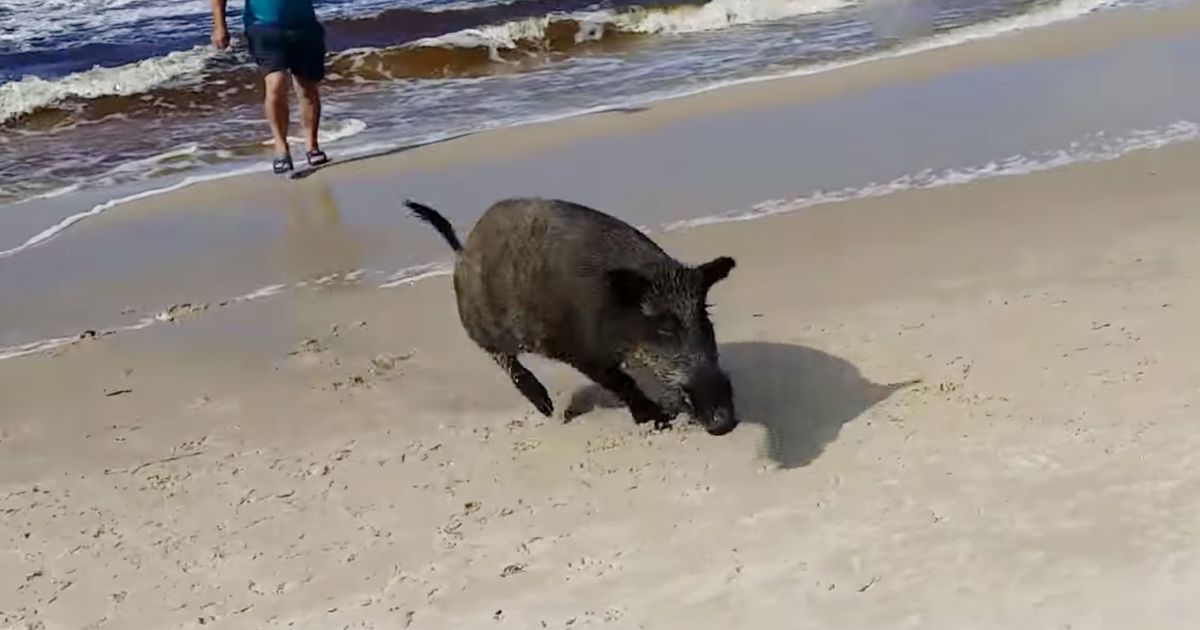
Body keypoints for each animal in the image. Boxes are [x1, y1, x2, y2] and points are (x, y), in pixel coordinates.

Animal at [404, 197, 738, 435]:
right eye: (664, 327)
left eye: (705, 317)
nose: (724, 422)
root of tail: (462, 251)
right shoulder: (582, 351)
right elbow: (621, 383)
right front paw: (656, 421)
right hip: (483, 330)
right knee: (506, 361)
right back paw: (548, 409)